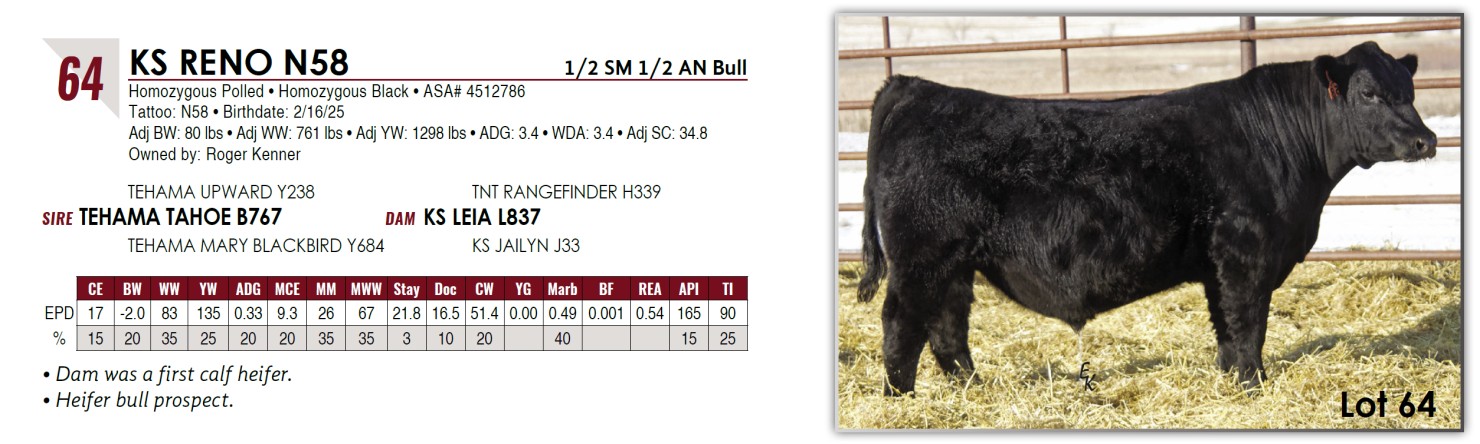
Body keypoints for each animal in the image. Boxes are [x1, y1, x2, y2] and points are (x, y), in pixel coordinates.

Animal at [856, 42, 1436, 396]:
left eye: (1409, 91)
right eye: (1368, 93)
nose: (1425, 140)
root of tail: (913, 87)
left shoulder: (1220, 263)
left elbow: (1227, 327)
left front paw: (1230, 381)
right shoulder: (1246, 254)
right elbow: (1249, 324)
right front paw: (1254, 384)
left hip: (953, 264)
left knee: (947, 328)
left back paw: (971, 389)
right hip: (921, 256)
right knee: (901, 324)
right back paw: (902, 398)